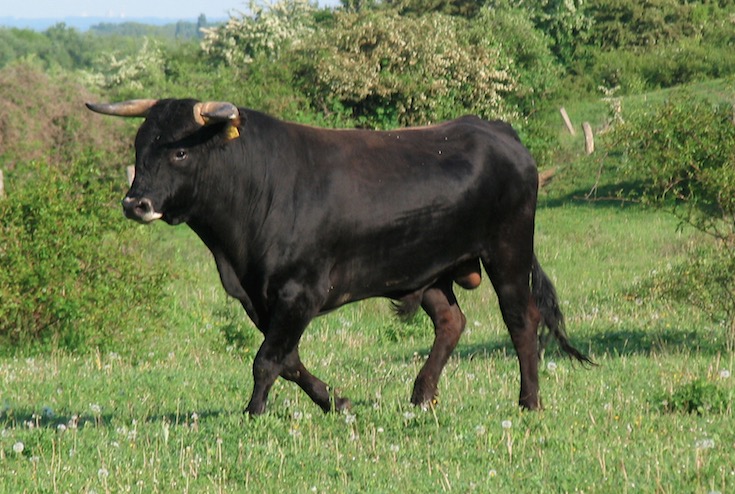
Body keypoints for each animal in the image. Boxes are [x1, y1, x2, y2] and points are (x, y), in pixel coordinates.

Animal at [86, 98, 591, 415]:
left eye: (180, 152)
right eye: (139, 147)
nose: (135, 204)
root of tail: (494, 128)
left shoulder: (301, 292)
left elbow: (267, 359)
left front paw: (253, 412)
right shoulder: (259, 297)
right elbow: (286, 357)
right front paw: (337, 402)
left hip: (508, 251)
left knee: (522, 319)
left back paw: (529, 402)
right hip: (429, 269)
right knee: (451, 323)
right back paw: (422, 396)